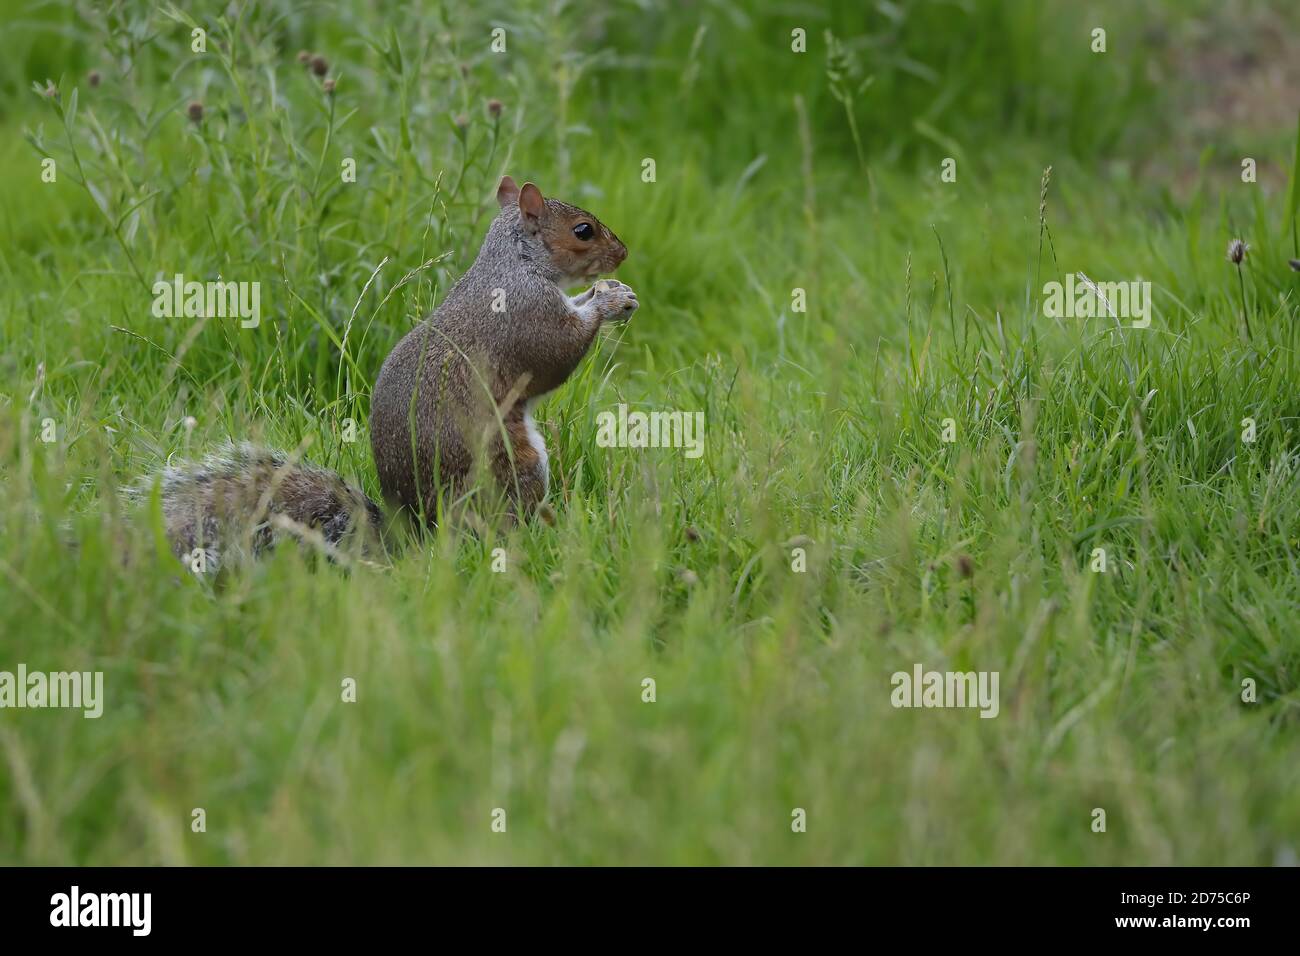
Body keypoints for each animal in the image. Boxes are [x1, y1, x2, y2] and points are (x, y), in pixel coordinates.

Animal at [142, 176, 636, 566]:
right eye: (583, 231)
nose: (624, 252)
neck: (516, 262)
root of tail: (416, 532)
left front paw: (607, 291)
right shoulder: (526, 316)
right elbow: (558, 354)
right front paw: (608, 301)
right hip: (512, 467)